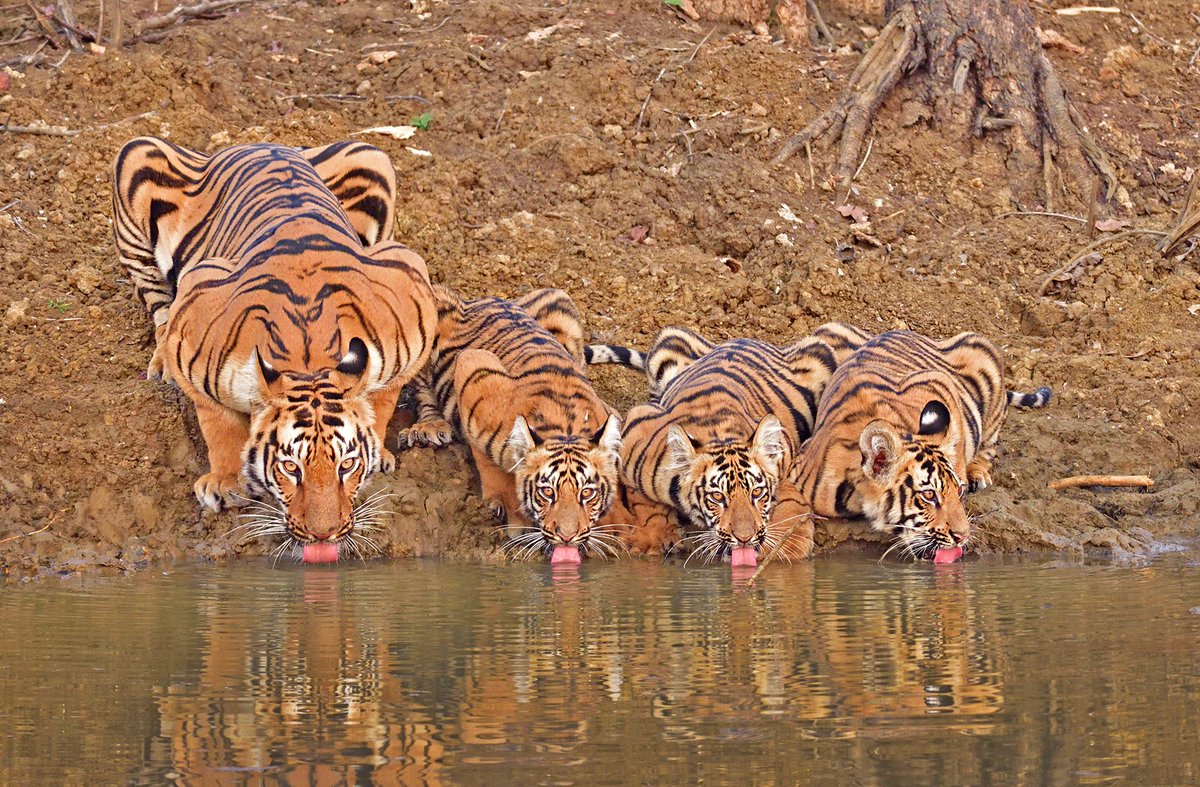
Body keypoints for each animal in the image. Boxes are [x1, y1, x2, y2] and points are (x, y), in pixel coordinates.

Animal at [112, 137, 436, 558]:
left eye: (346, 465)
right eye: (290, 468)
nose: (323, 535)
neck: (309, 358)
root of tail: (262, 143)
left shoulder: (410, 290)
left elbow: (381, 401)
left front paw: (378, 451)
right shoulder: (194, 306)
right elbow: (218, 421)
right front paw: (226, 481)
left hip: (370, 156)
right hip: (136, 154)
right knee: (158, 305)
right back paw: (161, 365)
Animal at [397, 286, 631, 562]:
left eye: (587, 493)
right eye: (547, 492)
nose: (567, 536)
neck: (565, 427)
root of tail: (477, 299)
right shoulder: (473, 370)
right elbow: (489, 461)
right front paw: (510, 513)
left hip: (560, 302)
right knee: (424, 392)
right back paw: (429, 427)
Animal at [587, 327, 838, 566]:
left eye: (757, 492)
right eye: (717, 497)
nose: (745, 538)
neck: (720, 435)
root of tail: (742, 339)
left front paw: (786, 547)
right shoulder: (634, 429)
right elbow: (642, 499)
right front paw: (655, 538)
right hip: (667, 341)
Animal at [792, 322, 1053, 561]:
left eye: (959, 491)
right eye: (928, 495)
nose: (963, 536)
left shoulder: (939, 383)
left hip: (983, 353)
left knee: (989, 444)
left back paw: (978, 474)